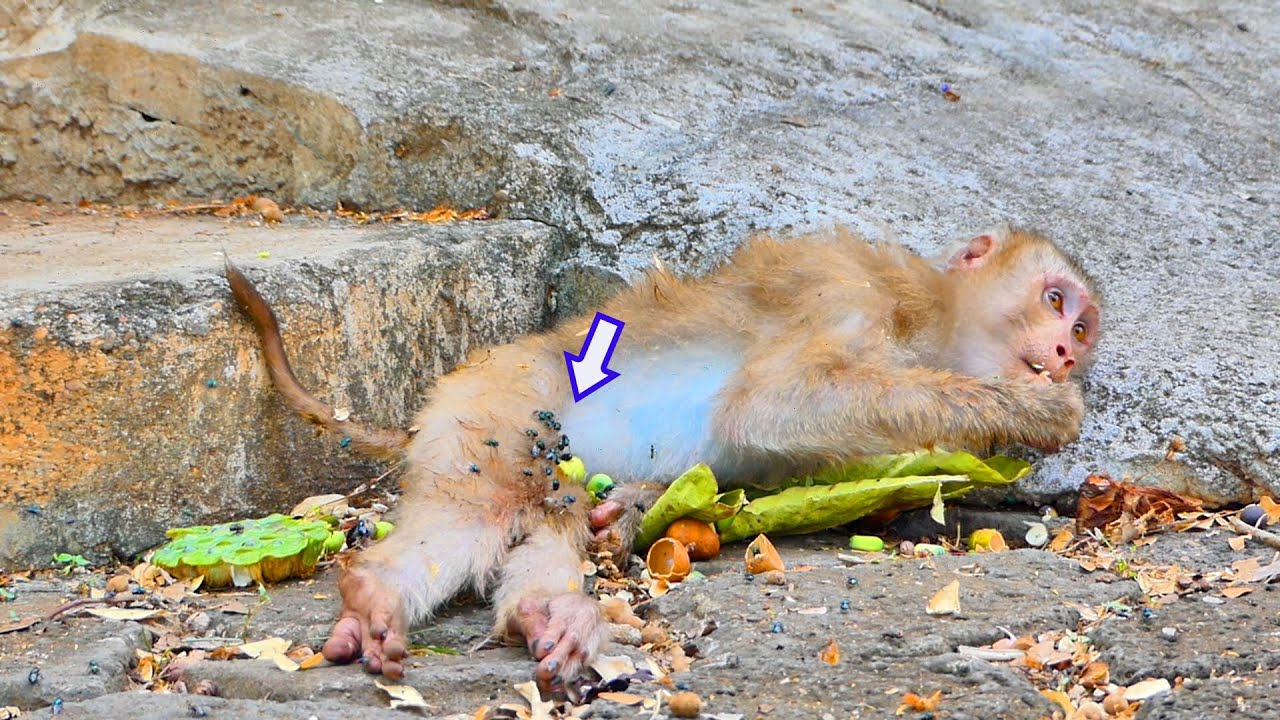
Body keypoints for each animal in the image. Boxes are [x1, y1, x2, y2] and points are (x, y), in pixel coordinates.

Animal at [224, 225, 1100, 689]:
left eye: (1083, 327)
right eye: (1056, 300)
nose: (1065, 353)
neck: (936, 320)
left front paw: (641, 508)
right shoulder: (853, 290)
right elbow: (770, 407)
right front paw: (1034, 413)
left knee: (545, 522)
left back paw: (539, 609)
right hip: (496, 416)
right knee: (498, 501)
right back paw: (382, 592)